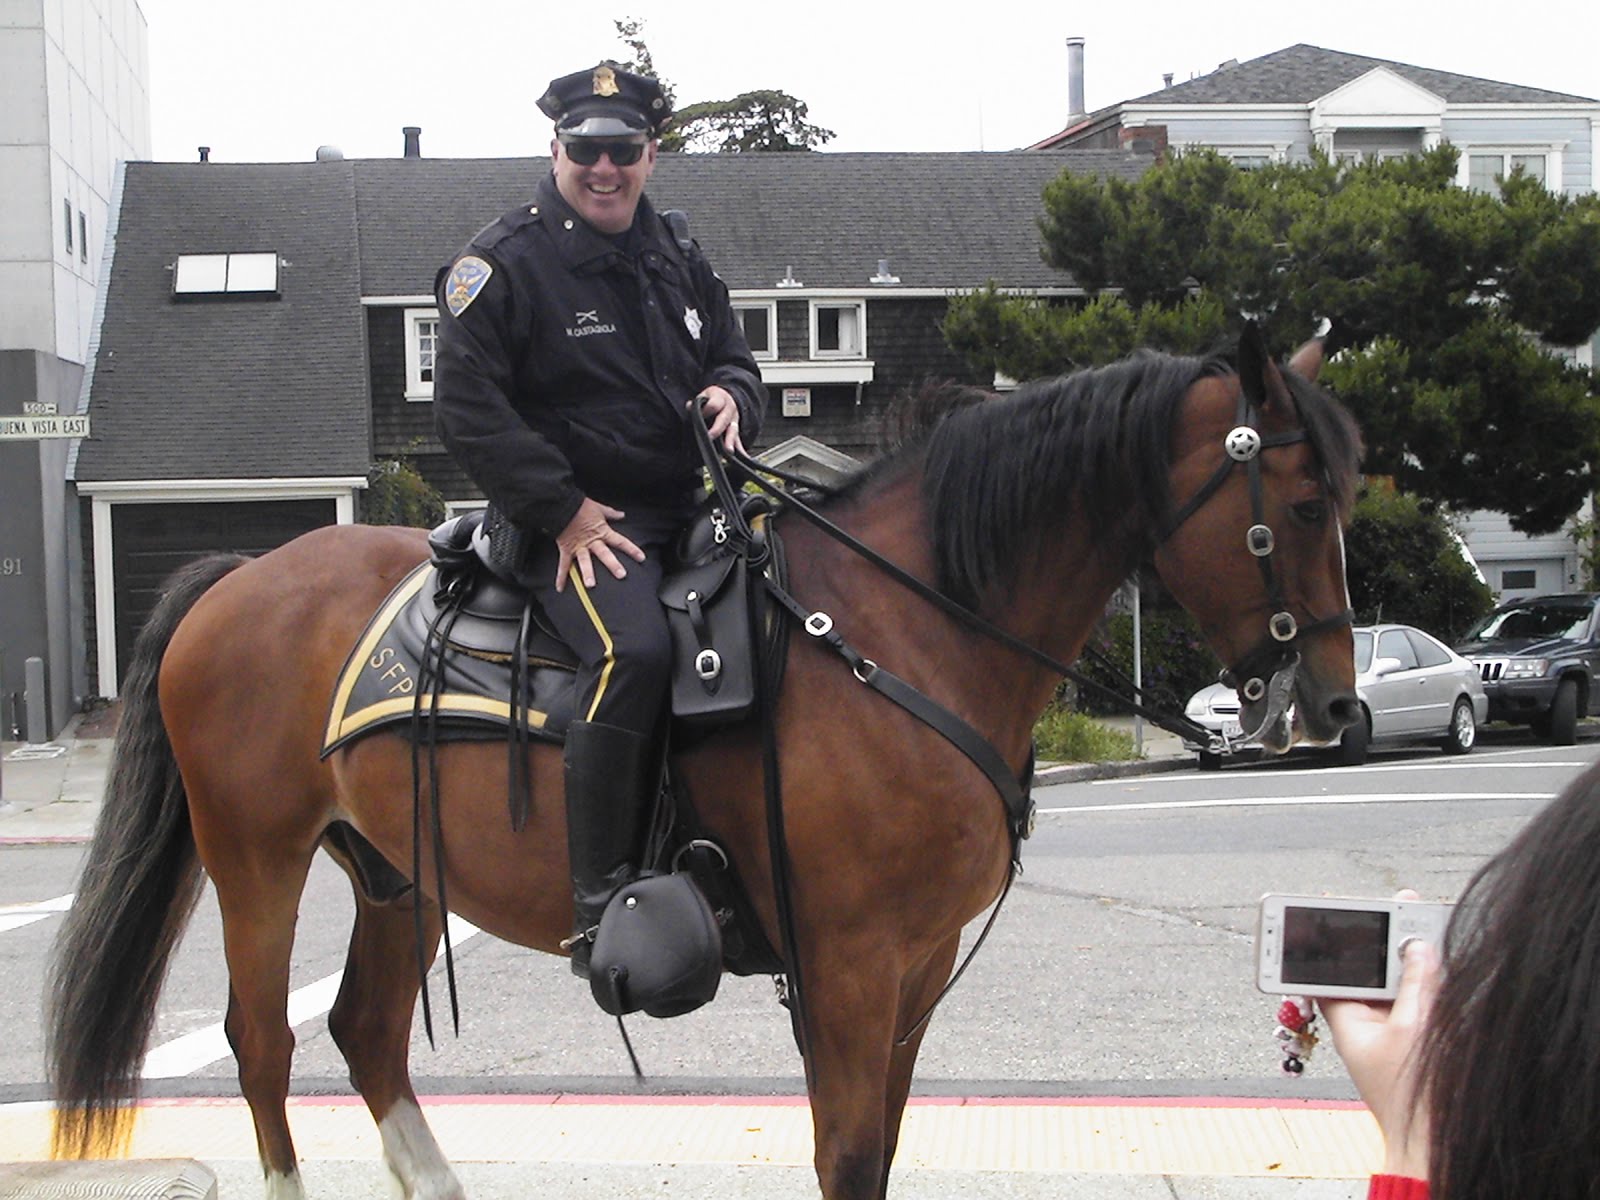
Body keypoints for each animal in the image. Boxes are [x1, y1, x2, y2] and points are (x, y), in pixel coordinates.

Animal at [47, 327, 1361, 1200]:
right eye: (1302, 504)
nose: (1336, 705)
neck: (899, 630)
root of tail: (242, 574)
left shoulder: (916, 969)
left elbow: (879, 1150)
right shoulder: (848, 967)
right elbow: (846, 1156)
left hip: (398, 873)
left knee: (365, 1032)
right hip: (256, 860)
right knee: (264, 1046)